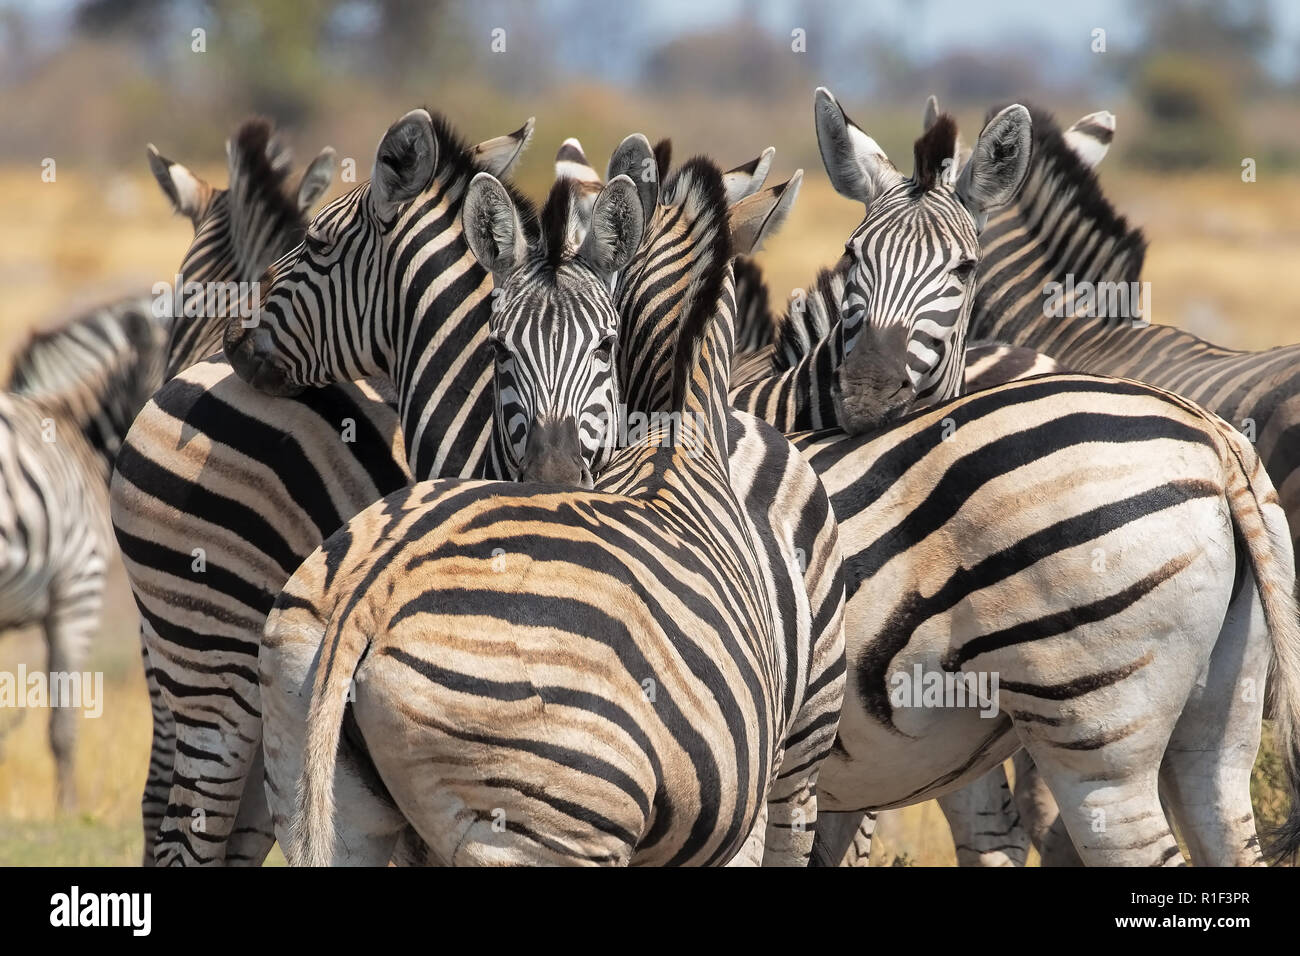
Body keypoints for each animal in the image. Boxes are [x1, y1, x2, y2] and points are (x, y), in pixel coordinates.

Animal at [262, 155, 844, 865]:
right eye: (498, 349)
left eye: (604, 346)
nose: (555, 475)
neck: (677, 428)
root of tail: (368, 595)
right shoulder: (743, 822)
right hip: (550, 817)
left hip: (320, 781)